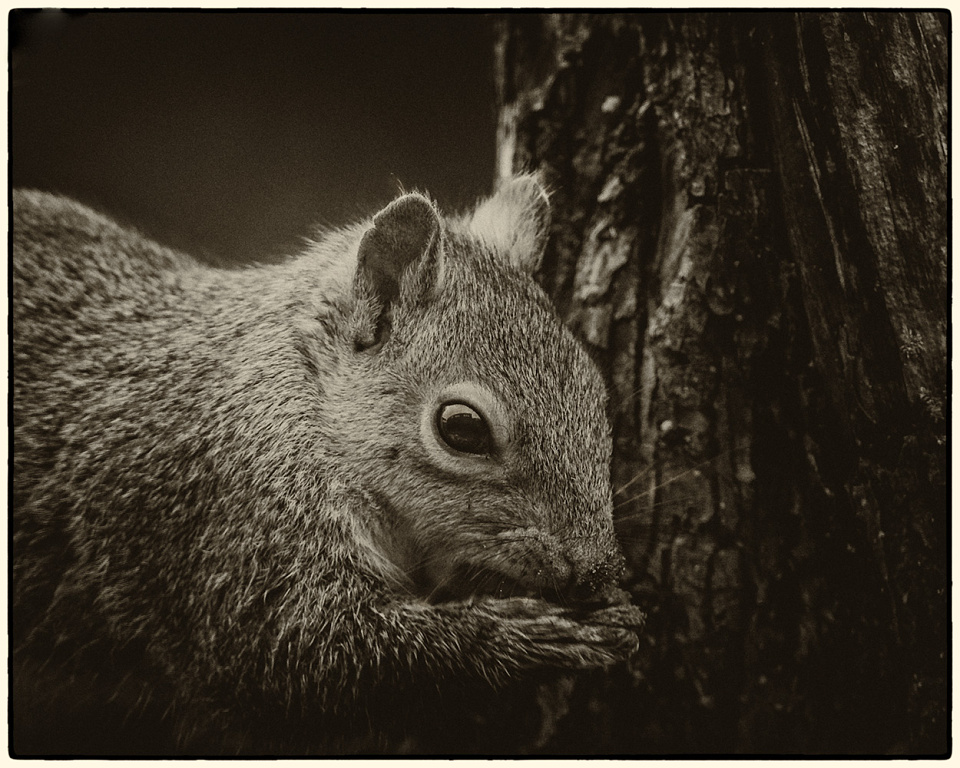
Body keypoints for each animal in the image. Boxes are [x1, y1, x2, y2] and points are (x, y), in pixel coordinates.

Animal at [12, 176, 645, 755]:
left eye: (596, 389)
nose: (598, 570)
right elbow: (303, 658)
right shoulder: (235, 519)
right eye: (462, 429)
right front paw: (530, 635)